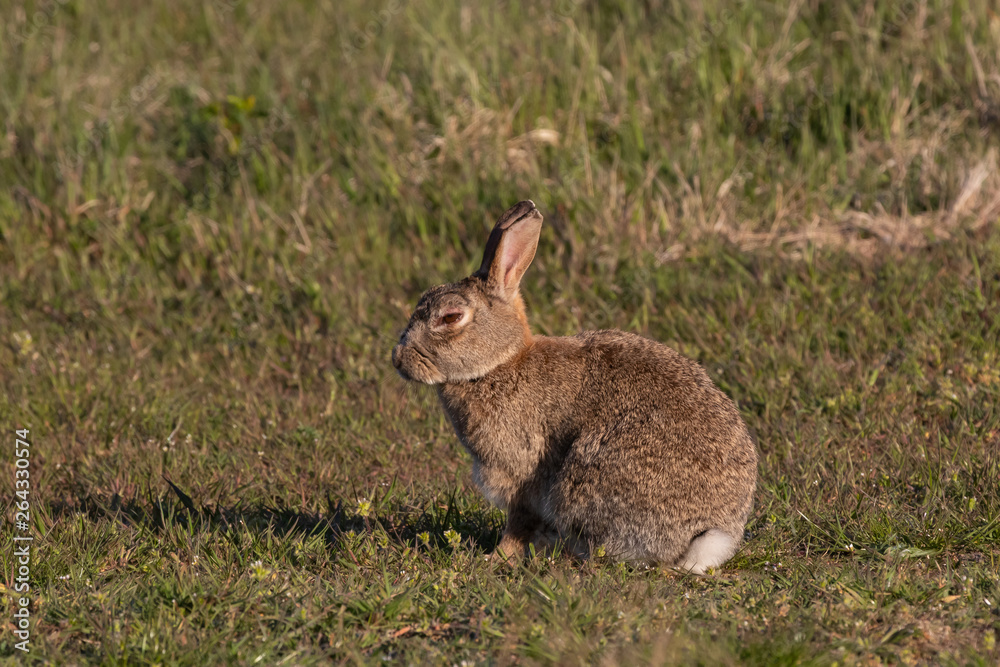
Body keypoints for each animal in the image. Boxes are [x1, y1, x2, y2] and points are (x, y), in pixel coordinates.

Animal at [391, 200, 757, 574]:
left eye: (450, 317)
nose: (398, 359)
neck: (500, 364)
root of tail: (705, 536)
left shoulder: (521, 474)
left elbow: (518, 524)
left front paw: (495, 558)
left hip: (584, 478)